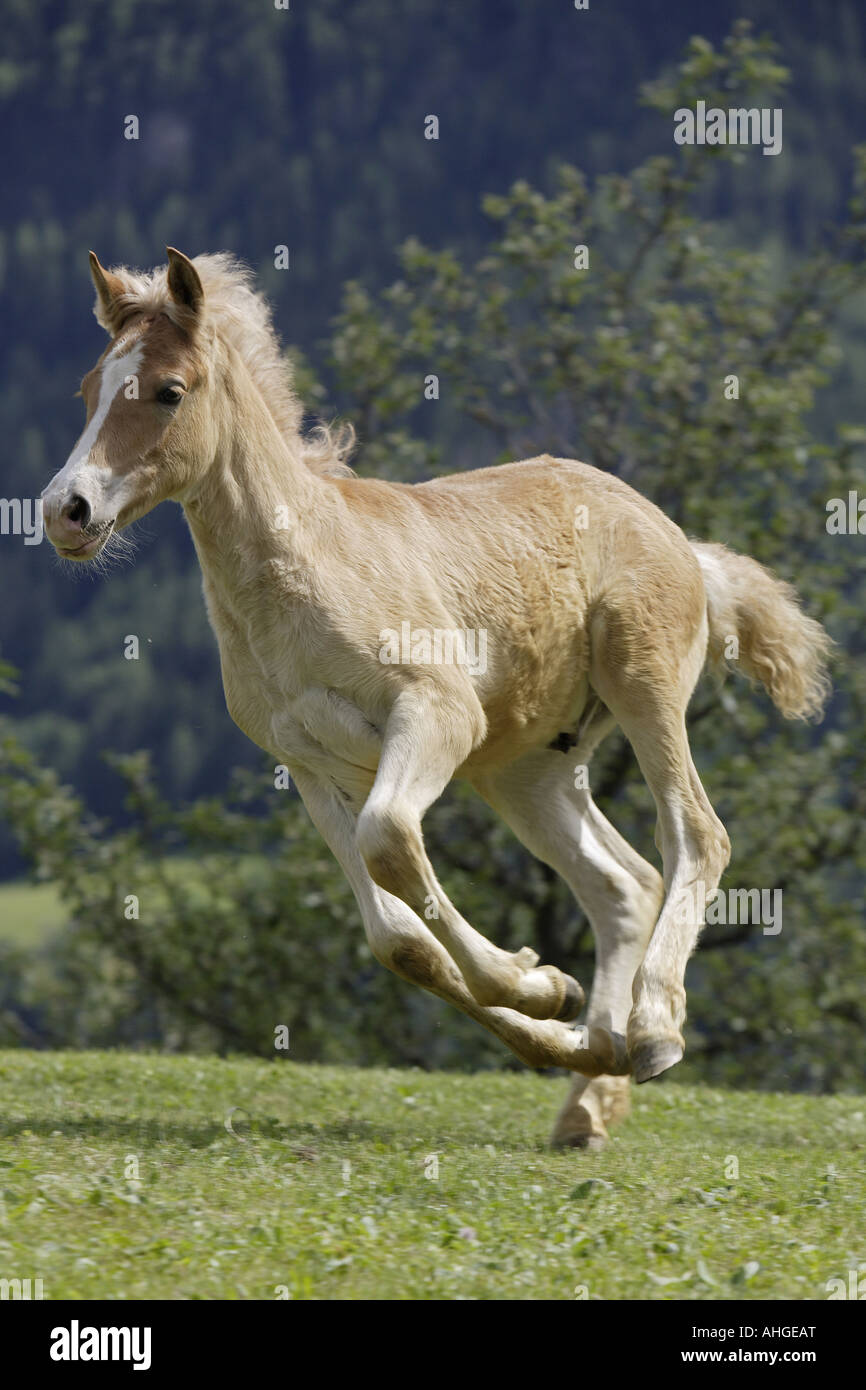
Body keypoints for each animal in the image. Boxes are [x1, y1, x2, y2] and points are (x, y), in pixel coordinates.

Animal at [41, 248, 832, 1148]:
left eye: (169, 390)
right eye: (90, 387)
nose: (66, 510)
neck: (303, 567)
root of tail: (683, 543)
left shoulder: (437, 713)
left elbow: (391, 841)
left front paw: (529, 982)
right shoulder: (308, 768)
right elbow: (397, 940)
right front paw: (547, 998)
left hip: (641, 682)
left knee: (696, 833)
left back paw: (655, 1030)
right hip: (523, 769)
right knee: (622, 885)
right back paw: (594, 1069)